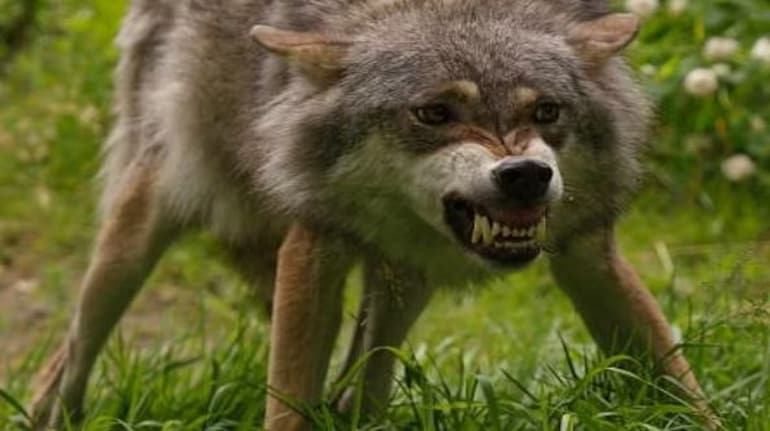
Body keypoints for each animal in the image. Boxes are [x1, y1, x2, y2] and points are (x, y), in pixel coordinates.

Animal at [30, 0, 713, 429]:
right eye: (434, 113)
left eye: (545, 111)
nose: (524, 174)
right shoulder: (314, 242)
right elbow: (288, 403)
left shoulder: (586, 253)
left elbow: (676, 375)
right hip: (141, 227)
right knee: (68, 356)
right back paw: (50, 411)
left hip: (402, 281)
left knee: (366, 378)